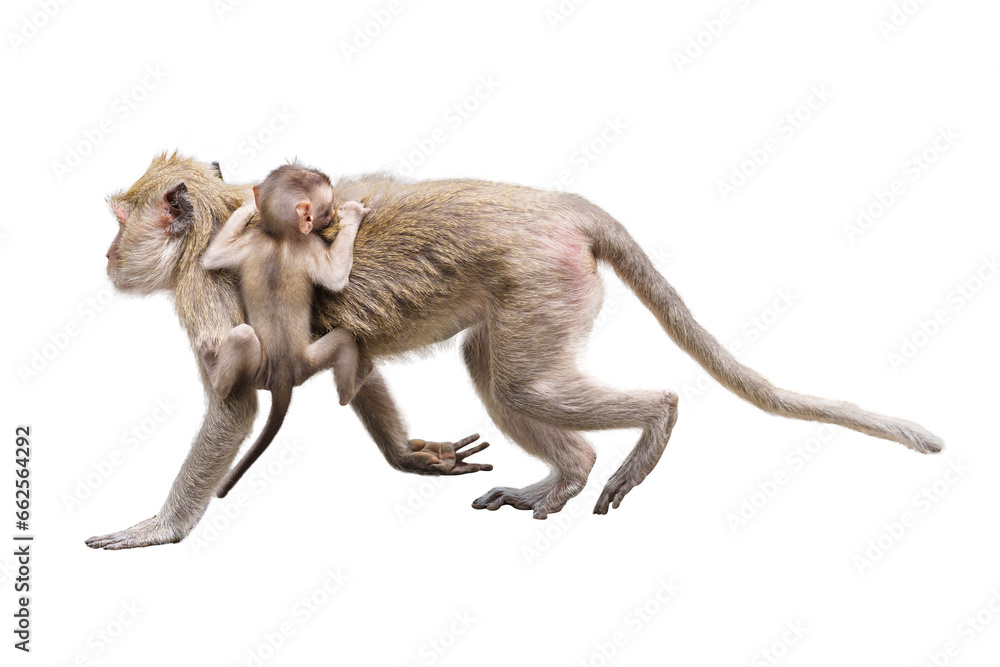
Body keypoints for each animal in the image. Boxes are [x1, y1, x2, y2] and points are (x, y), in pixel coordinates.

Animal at [199, 163, 373, 499]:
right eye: (327, 207)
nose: (333, 213)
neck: (281, 235)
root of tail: (282, 376)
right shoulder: (311, 245)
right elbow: (335, 278)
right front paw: (352, 216)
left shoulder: (251, 241)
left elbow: (212, 257)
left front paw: (248, 204)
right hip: (297, 364)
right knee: (342, 342)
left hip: (280, 365)